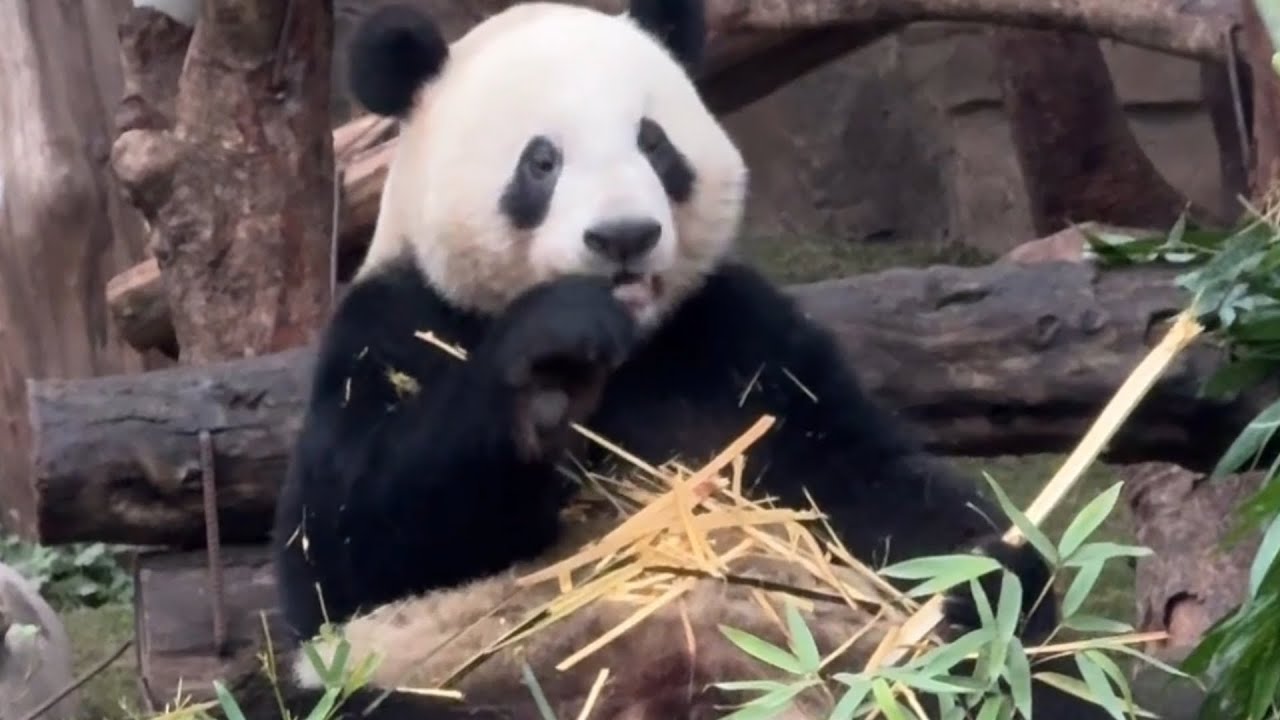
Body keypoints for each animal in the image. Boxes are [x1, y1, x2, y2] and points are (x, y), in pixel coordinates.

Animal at [222, 2, 1123, 719]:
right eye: (541, 161)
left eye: (653, 144)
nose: (623, 236)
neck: (632, 348)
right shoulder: (388, 325)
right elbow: (344, 552)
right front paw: (549, 368)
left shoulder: (730, 335)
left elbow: (859, 479)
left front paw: (992, 573)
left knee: (1037, 684)